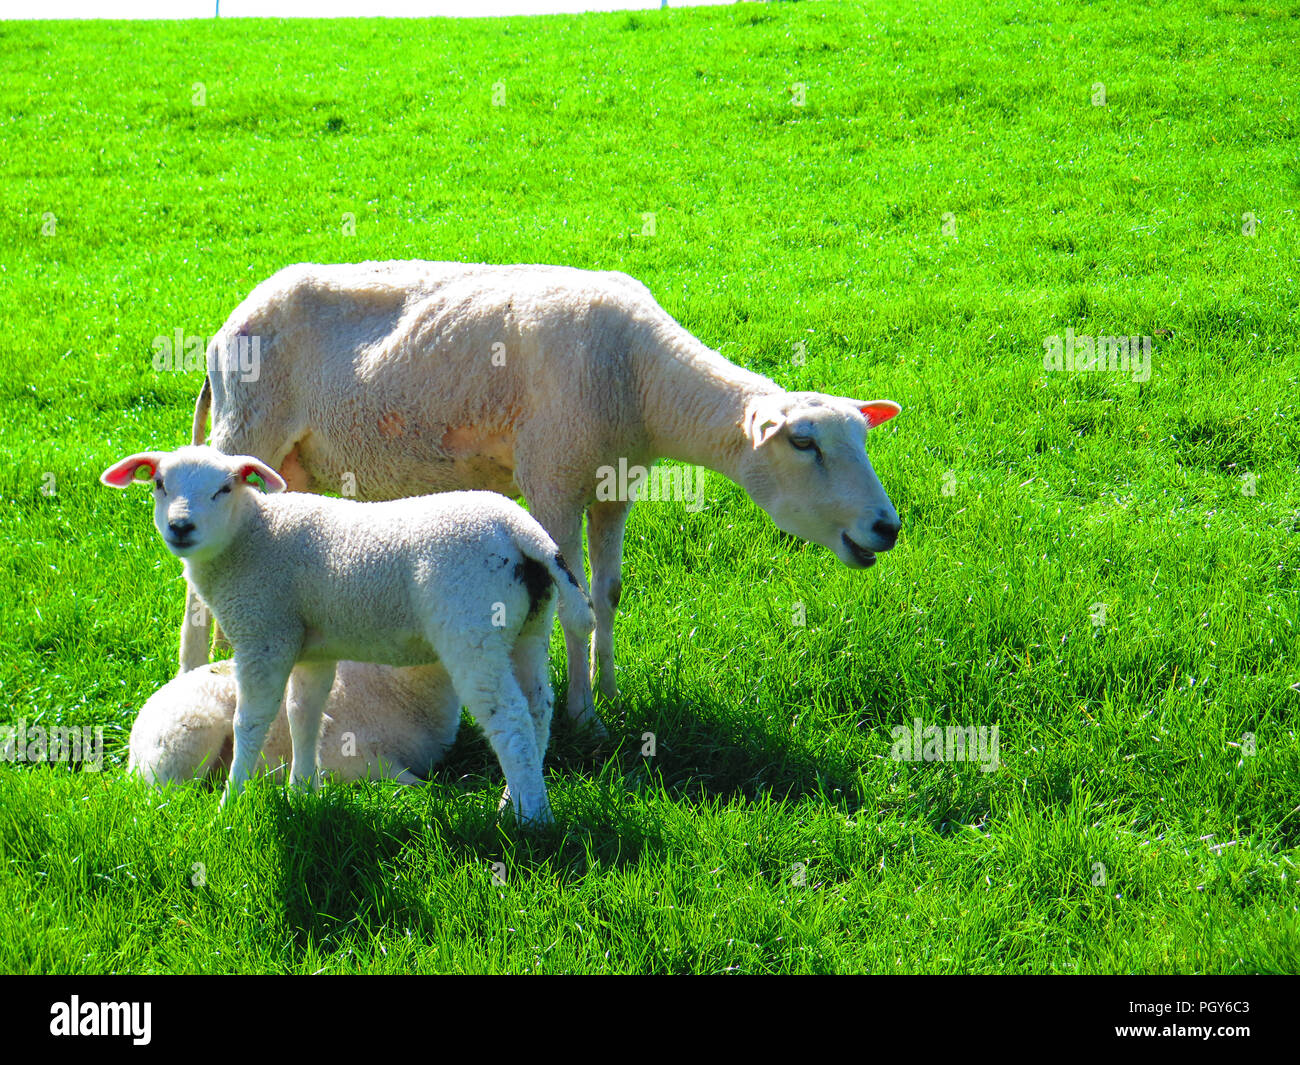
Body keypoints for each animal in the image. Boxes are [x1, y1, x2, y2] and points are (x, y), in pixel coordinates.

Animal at [179, 260, 903, 729]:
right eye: (805, 443)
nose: (886, 527)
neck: (641, 381)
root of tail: (225, 325)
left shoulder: (614, 485)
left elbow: (608, 596)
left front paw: (609, 691)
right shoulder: (553, 479)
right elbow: (574, 609)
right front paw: (585, 719)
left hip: (292, 465)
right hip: (248, 425)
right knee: (194, 586)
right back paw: (189, 676)